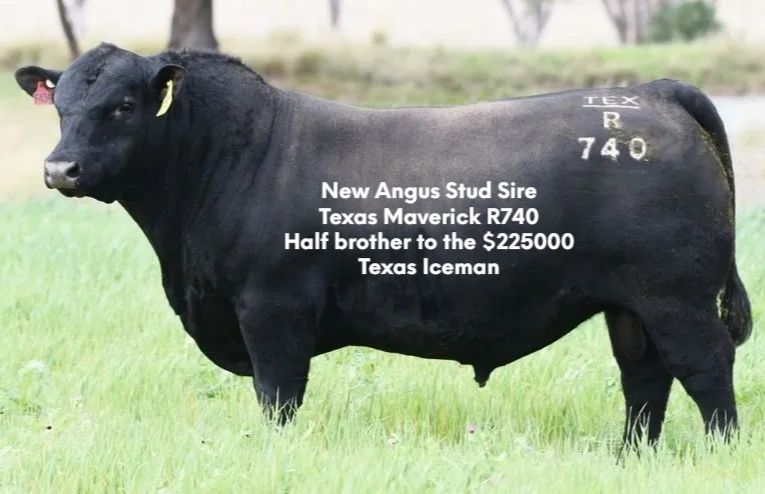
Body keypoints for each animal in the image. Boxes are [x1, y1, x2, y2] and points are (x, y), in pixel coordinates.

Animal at [15, 43, 752, 446]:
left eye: (123, 106)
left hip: (676, 298)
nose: (59, 169)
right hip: (629, 306)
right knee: (644, 378)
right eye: (61, 107)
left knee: (704, 369)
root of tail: (651, 92)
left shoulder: (272, 309)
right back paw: (630, 456)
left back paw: (716, 451)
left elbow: (277, 396)